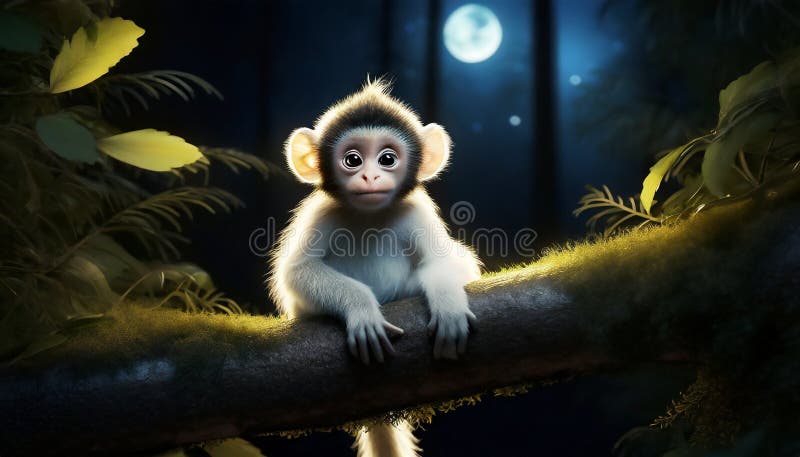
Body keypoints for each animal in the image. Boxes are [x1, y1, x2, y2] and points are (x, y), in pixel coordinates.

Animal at [268, 78, 481, 457]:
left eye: (387, 158)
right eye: (352, 160)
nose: (369, 175)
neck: (370, 217)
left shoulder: (416, 212)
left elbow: (444, 262)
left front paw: (450, 308)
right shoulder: (322, 213)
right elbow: (298, 272)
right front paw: (362, 312)